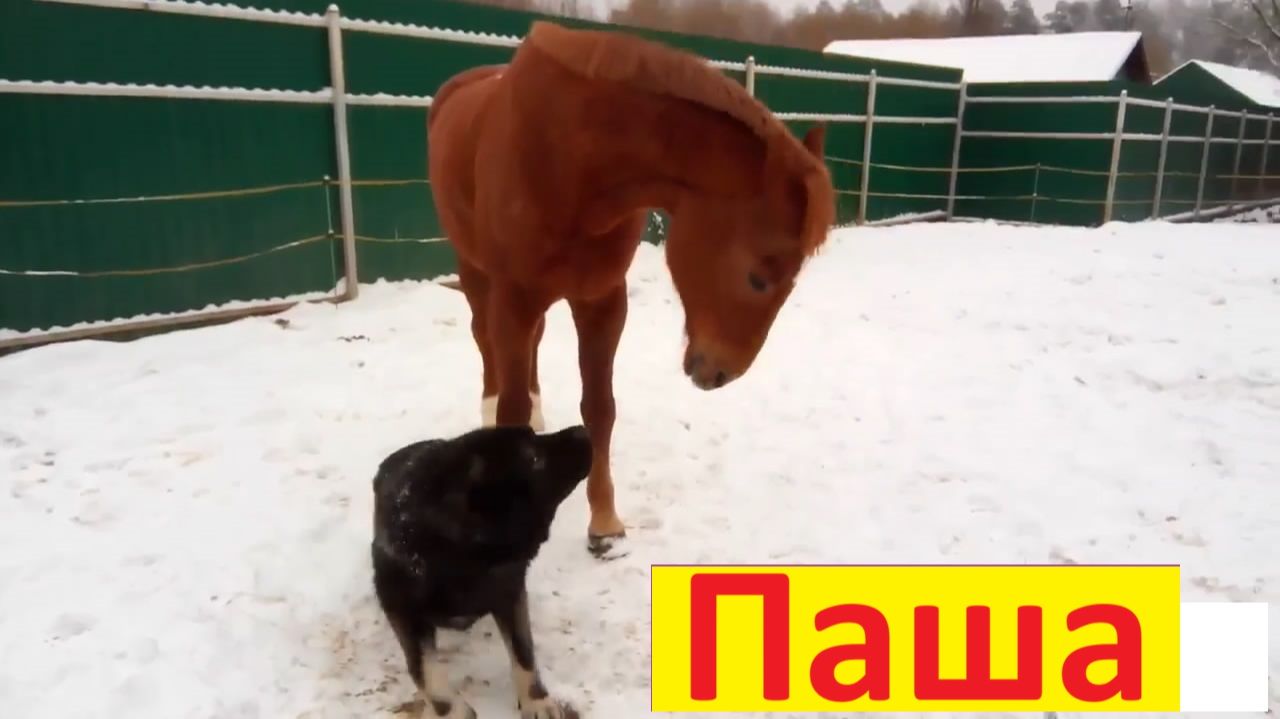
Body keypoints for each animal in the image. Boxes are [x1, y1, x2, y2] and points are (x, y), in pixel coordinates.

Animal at [426, 21, 835, 558]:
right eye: (757, 277)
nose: (719, 373)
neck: (571, 162)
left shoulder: (601, 301)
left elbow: (600, 408)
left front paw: (605, 525)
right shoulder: (513, 296)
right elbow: (513, 406)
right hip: (476, 273)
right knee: (484, 340)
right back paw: (490, 408)